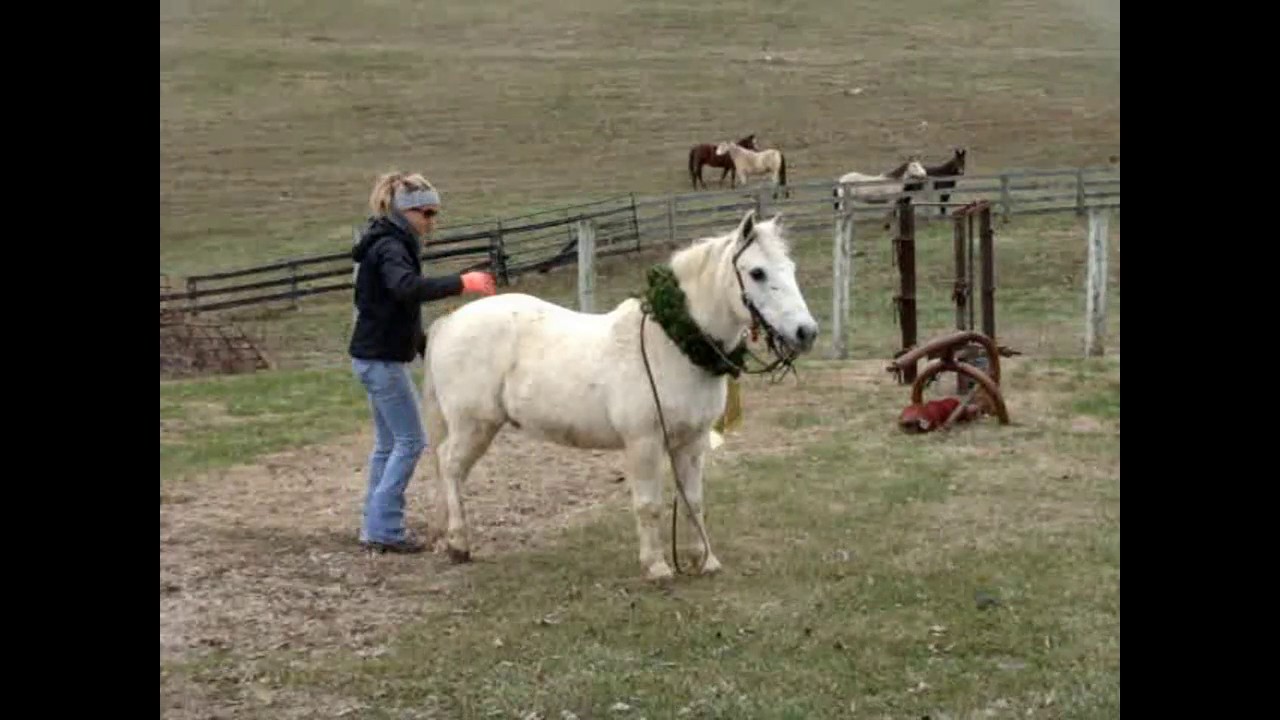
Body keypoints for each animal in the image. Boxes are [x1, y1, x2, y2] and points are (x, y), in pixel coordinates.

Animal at [420, 209, 818, 582]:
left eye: (790, 268)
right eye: (757, 273)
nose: (806, 332)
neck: (672, 344)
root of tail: (449, 321)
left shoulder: (691, 442)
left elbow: (693, 500)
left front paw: (704, 560)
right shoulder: (644, 443)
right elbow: (648, 504)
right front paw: (656, 566)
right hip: (474, 425)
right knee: (449, 466)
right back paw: (458, 543)